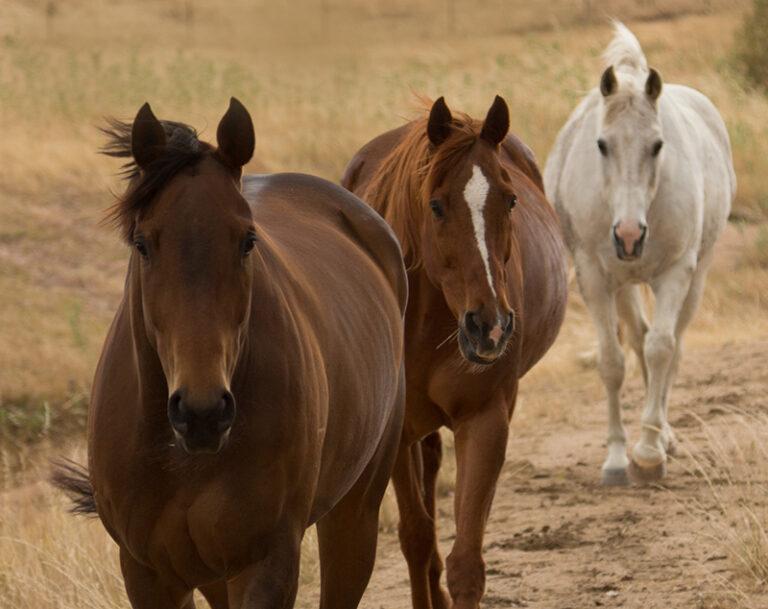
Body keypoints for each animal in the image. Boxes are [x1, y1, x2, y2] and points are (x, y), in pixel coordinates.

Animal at [53, 98, 408, 609]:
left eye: (247, 240)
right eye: (142, 243)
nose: (201, 412)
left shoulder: (264, 562)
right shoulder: (148, 572)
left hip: (355, 511)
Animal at [342, 96, 568, 609]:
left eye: (510, 199)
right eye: (436, 205)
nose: (489, 327)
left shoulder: (485, 419)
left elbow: (467, 559)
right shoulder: (397, 435)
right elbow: (417, 537)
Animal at [544, 22, 736, 485]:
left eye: (657, 145)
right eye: (601, 144)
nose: (629, 236)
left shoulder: (676, 273)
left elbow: (662, 348)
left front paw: (649, 452)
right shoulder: (594, 277)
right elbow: (613, 362)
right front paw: (616, 458)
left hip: (697, 277)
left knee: (671, 345)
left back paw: (663, 435)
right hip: (625, 285)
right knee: (637, 336)